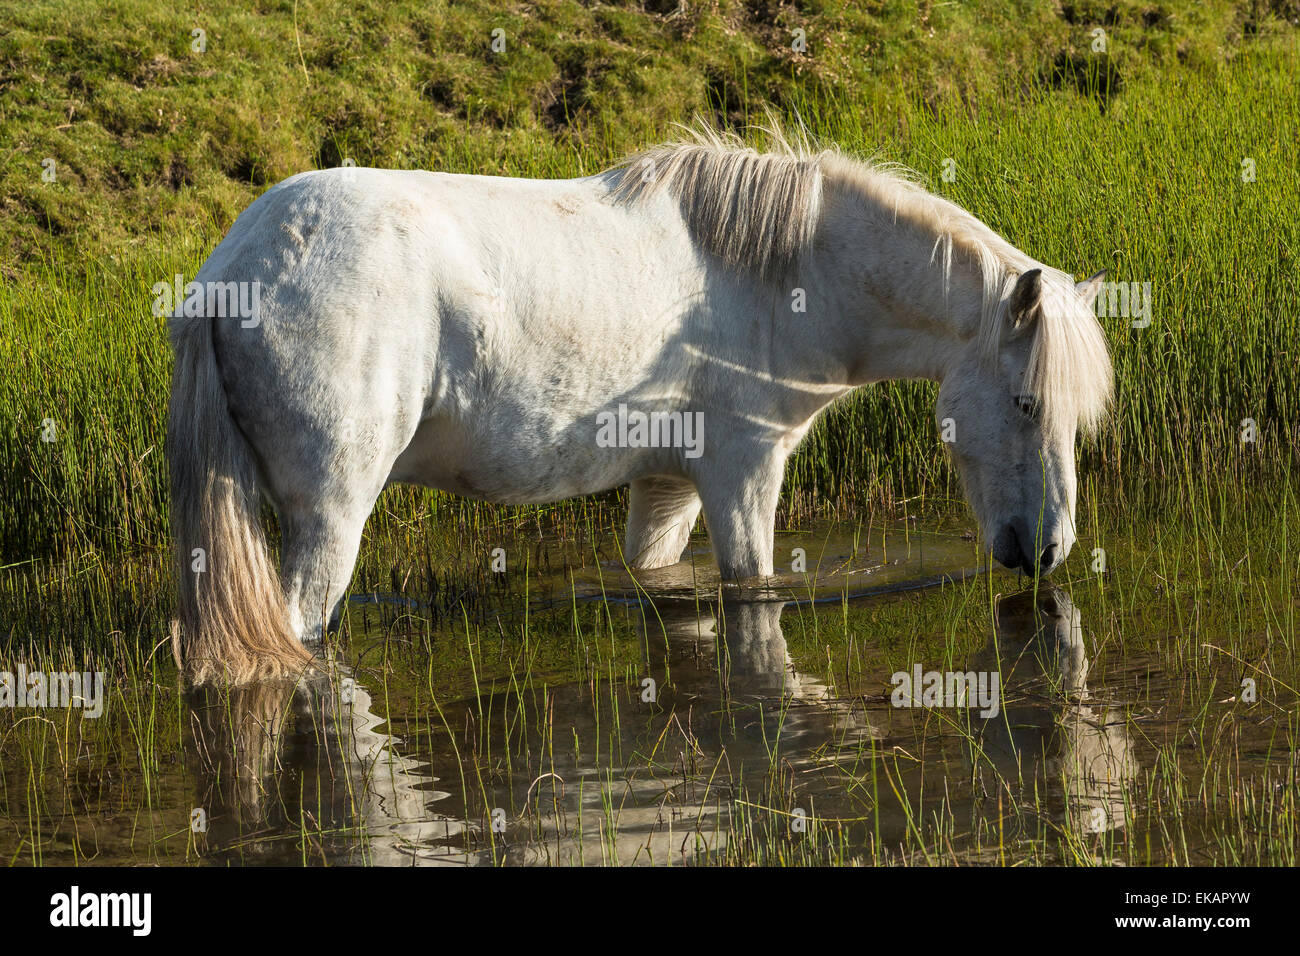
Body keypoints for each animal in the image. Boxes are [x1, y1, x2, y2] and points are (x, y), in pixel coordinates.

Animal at [167, 126, 1113, 684]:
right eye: (1027, 404)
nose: (1048, 549)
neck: (782, 275)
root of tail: (233, 269)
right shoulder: (742, 477)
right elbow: (751, 590)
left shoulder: (670, 488)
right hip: (331, 516)